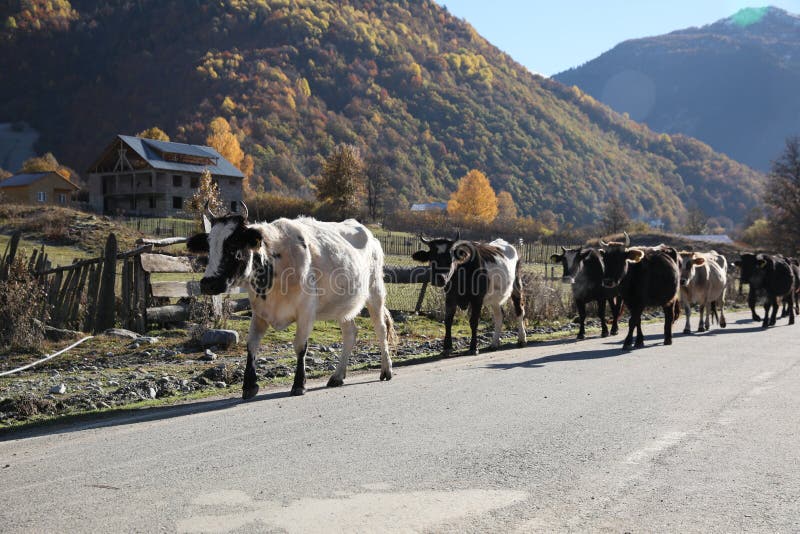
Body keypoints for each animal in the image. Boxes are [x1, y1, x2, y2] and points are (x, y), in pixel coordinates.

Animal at [186, 202, 395, 399]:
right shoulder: (259, 312)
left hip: (375, 292)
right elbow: (252, 345)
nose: (208, 283)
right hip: (343, 306)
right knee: (350, 333)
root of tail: (369, 233)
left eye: (233, 245)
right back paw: (337, 376)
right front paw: (249, 386)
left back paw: (386, 370)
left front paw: (299, 384)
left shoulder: (306, 311)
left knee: (381, 329)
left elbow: (300, 346)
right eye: (209, 246)